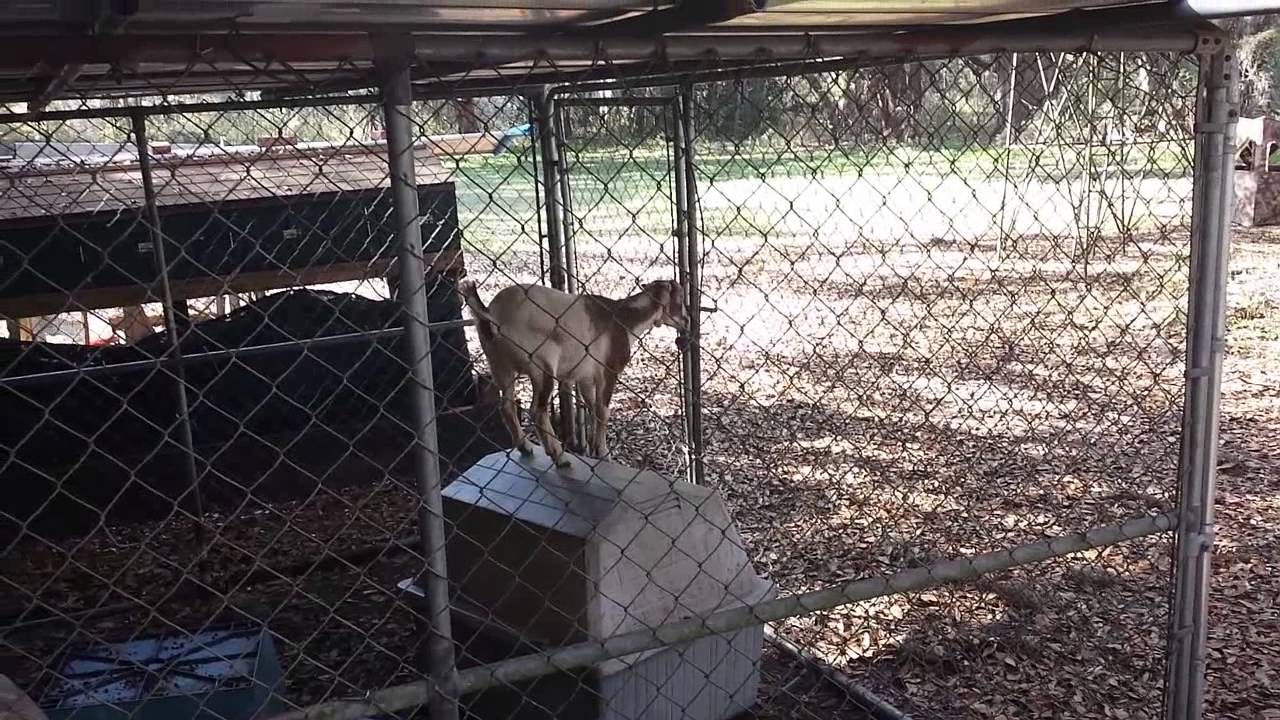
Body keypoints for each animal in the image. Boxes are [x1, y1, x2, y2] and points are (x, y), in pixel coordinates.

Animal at [459, 279, 688, 468]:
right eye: (681, 298)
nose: (687, 321)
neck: (624, 318)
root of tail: (493, 317)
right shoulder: (609, 370)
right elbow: (603, 410)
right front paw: (603, 452)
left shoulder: (586, 377)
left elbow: (593, 407)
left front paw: (594, 446)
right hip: (542, 366)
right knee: (537, 410)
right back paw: (559, 456)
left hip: (500, 366)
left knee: (506, 405)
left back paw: (526, 447)